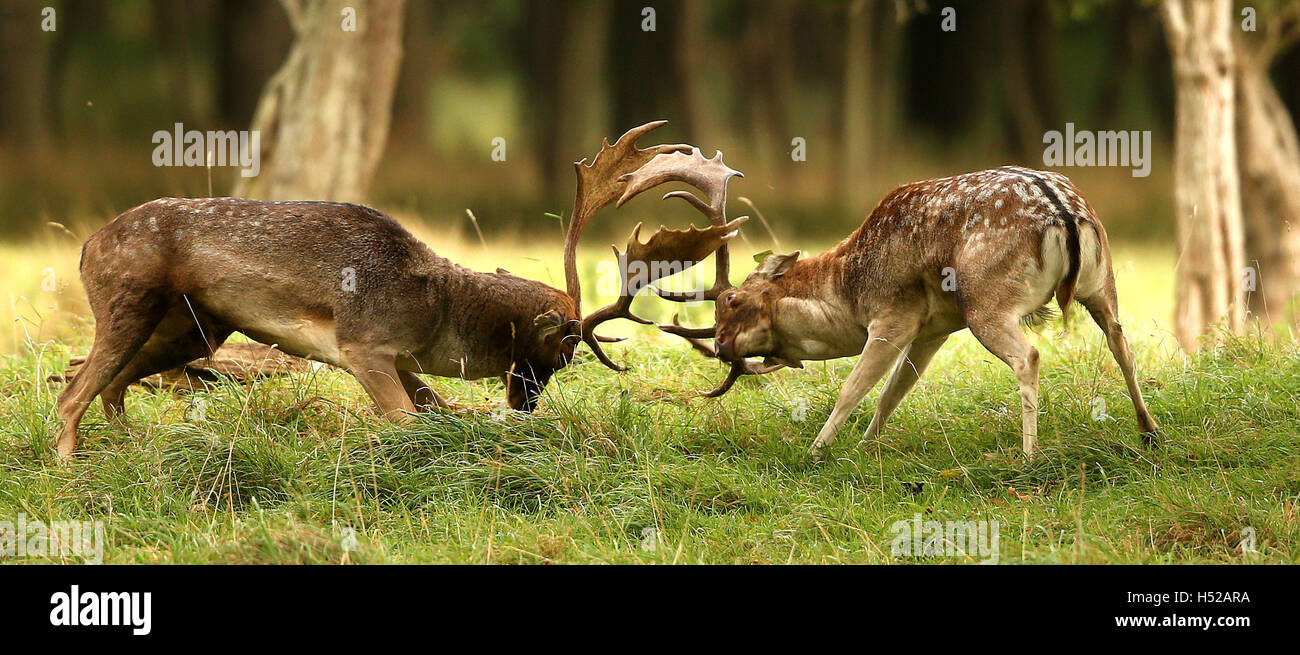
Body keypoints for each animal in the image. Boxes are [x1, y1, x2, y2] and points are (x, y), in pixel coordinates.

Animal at [55, 121, 758, 457]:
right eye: (560, 351)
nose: (524, 405)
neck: (433, 312)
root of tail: (86, 247)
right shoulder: (362, 346)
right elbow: (403, 417)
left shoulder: (397, 359)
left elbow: (437, 408)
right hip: (128, 301)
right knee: (72, 391)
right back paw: (69, 465)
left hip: (195, 325)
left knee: (113, 385)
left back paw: (129, 448)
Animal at [658, 165, 1161, 459]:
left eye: (733, 301)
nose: (722, 345)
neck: (848, 289)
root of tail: (1064, 213)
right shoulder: (935, 328)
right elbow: (893, 392)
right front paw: (864, 446)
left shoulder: (893, 315)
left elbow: (854, 388)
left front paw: (817, 451)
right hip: (1102, 282)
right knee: (1120, 340)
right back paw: (1149, 431)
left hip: (985, 300)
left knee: (1029, 356)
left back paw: (1029, 455)